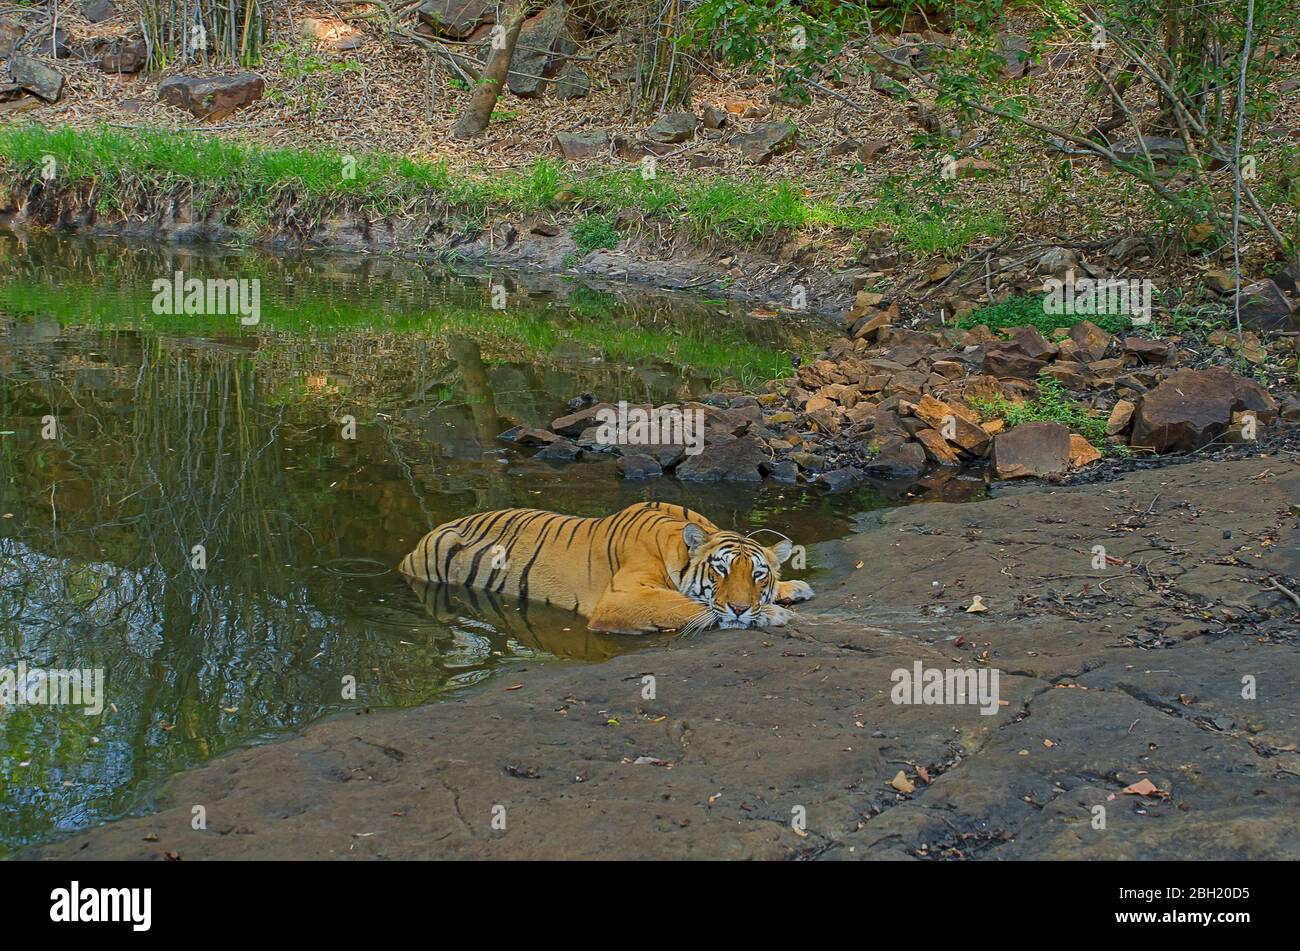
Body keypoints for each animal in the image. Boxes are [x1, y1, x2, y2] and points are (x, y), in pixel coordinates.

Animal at [397, 501, 814, 635]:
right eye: (720, 570)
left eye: (758, 574)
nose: (741, 608)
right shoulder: (621, 598)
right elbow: (688, 605)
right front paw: (770, 614)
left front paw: (792, 588)